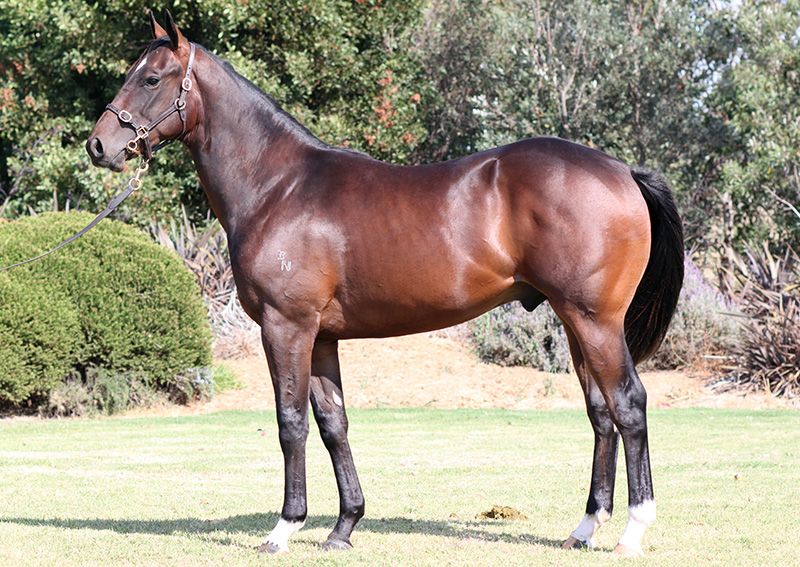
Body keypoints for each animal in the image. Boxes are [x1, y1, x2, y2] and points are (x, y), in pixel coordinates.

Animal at [86, 11, 683, 556]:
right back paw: (584, 529)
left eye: (151, 78)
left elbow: (290, 423)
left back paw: (633, 531)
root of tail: (623, 171)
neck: (278, 186)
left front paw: (284, 529)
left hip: (595, 319)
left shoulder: (286, 327)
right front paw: (343, 527)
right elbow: (334, 424)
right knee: (601, 413)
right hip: (574, 321)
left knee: (628, 404)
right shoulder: (321, 337)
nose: (98, 145)